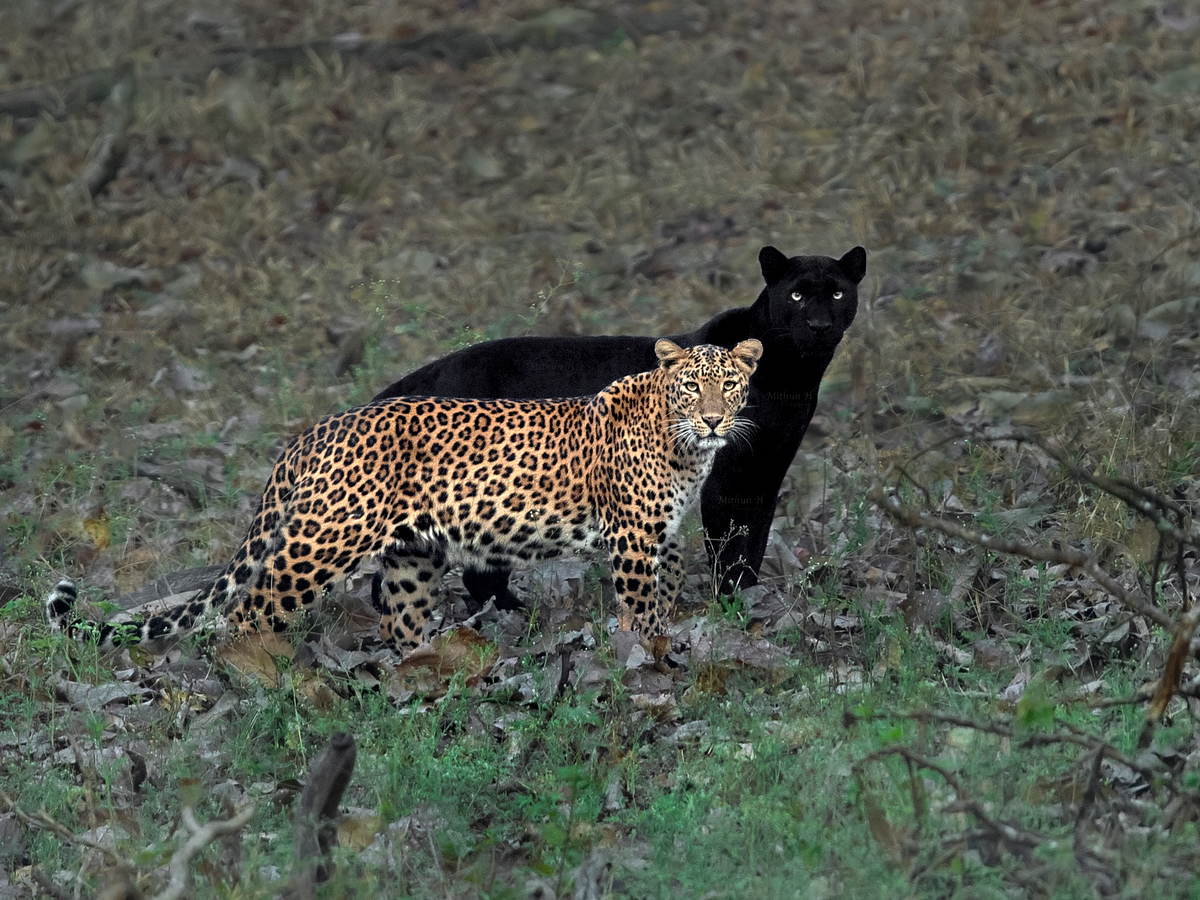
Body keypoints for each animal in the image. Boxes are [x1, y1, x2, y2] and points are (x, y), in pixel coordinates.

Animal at [47, 338, 762, 655]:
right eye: (693, 387)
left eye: (730, 385)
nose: (714, 420)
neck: (684, 446)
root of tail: (309, 434)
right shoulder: (635, 537)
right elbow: (639, 607)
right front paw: (644, 661)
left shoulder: (663, 536)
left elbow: (666, 592)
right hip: (321, 541)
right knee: (248, 611)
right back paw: (263, 675)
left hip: (412, 555)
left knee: (401, 619)